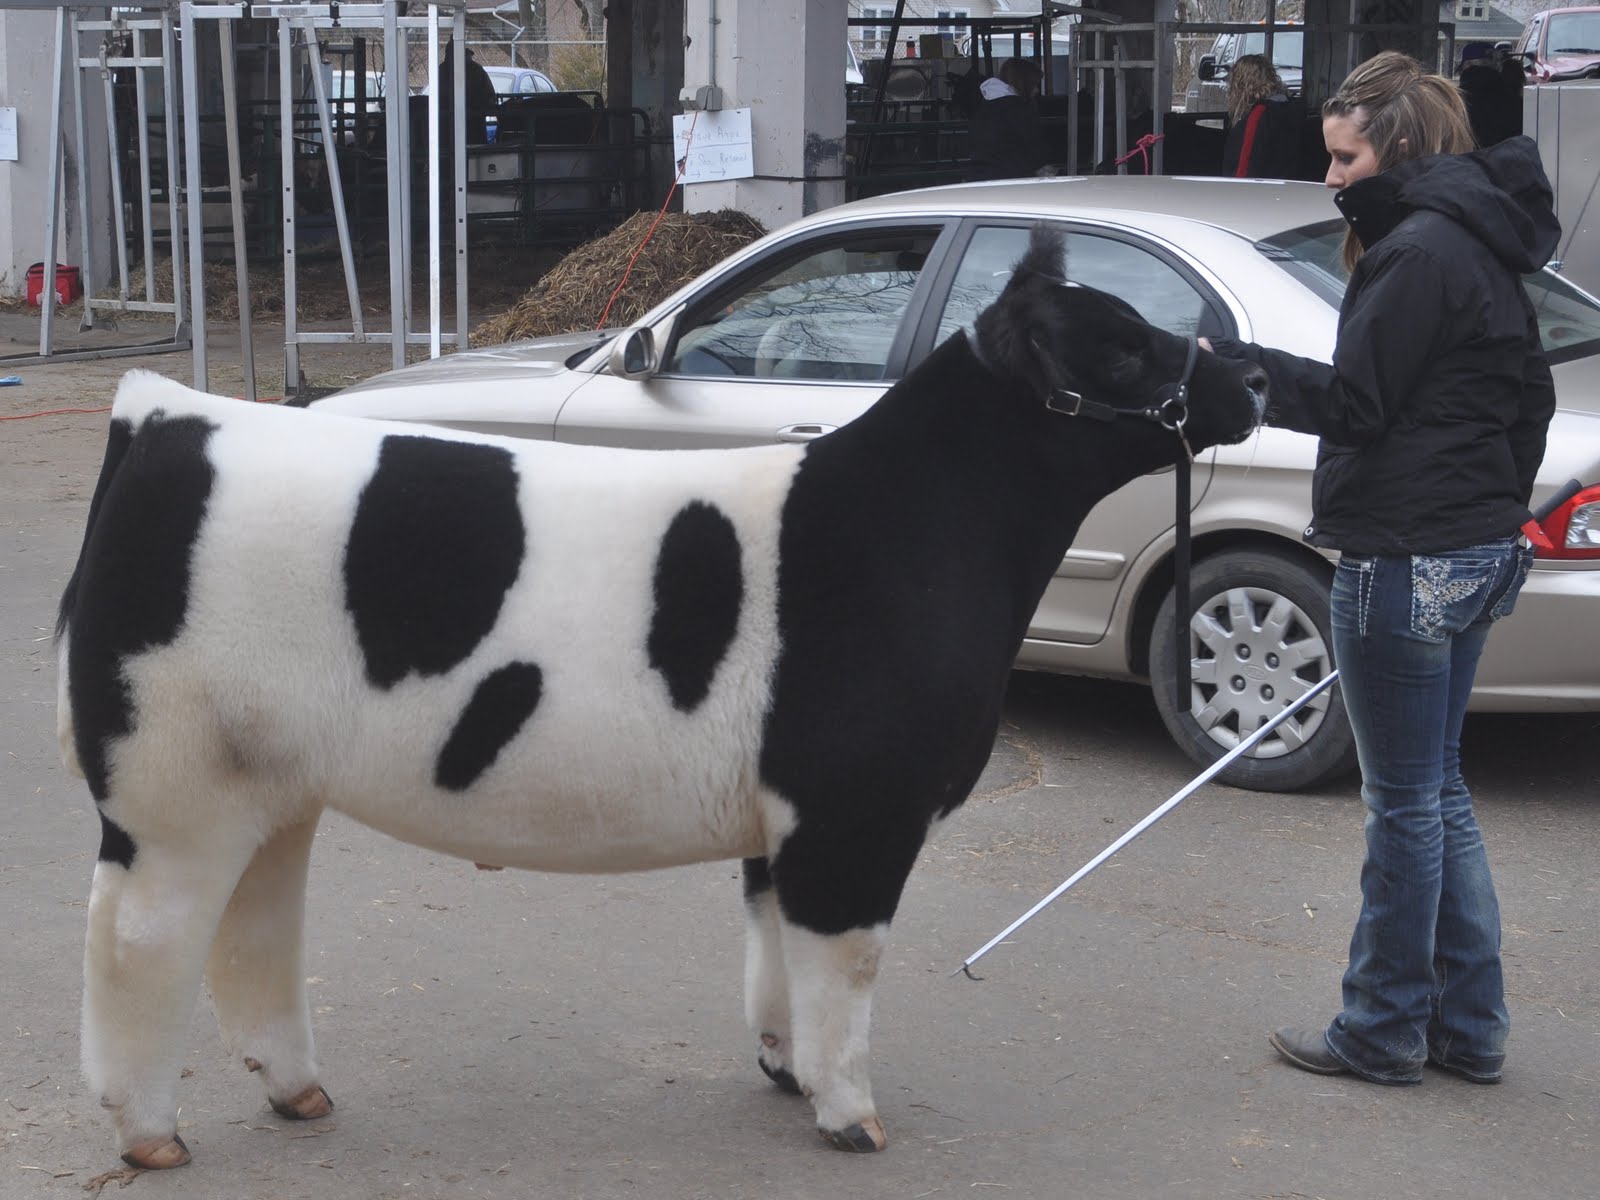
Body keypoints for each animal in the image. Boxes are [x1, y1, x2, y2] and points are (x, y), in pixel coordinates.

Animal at [54, 227, 1268, 1169]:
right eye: (1122, 345)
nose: (1251, 378)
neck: (912, 524)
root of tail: (166, 415)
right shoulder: (855, 813)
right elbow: (846, 966)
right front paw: (850, 1116)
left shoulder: (784, 821)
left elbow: (775, 952)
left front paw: (784, 1070)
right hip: (170, 789)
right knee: (138, 939)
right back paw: (151, 1136)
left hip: (269, 784)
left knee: (254, 926)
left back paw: (298, 1090)